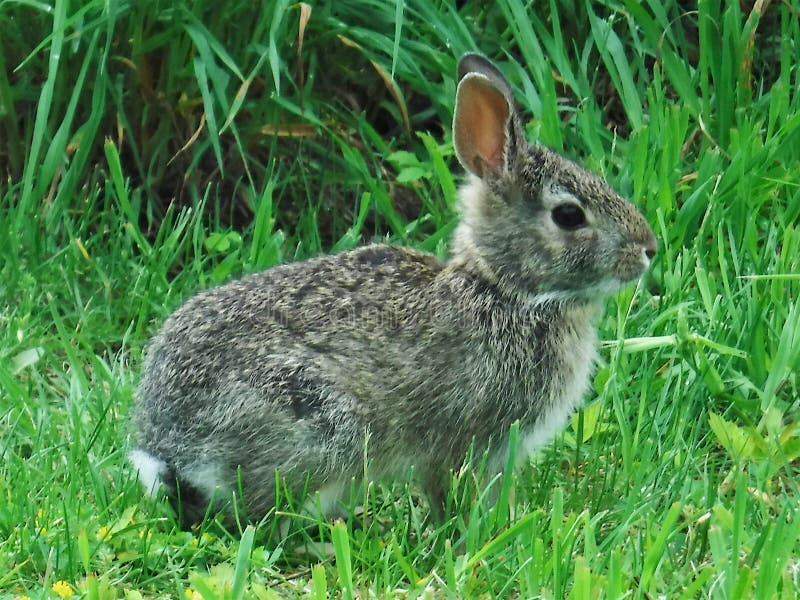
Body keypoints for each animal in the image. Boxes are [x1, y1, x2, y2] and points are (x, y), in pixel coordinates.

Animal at [130, 53, 657, 525]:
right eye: (568, 215)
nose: (648, 248)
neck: (505, 290)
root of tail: (167, 446)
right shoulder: (467, 436)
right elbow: (448, 488)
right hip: (320, 421)